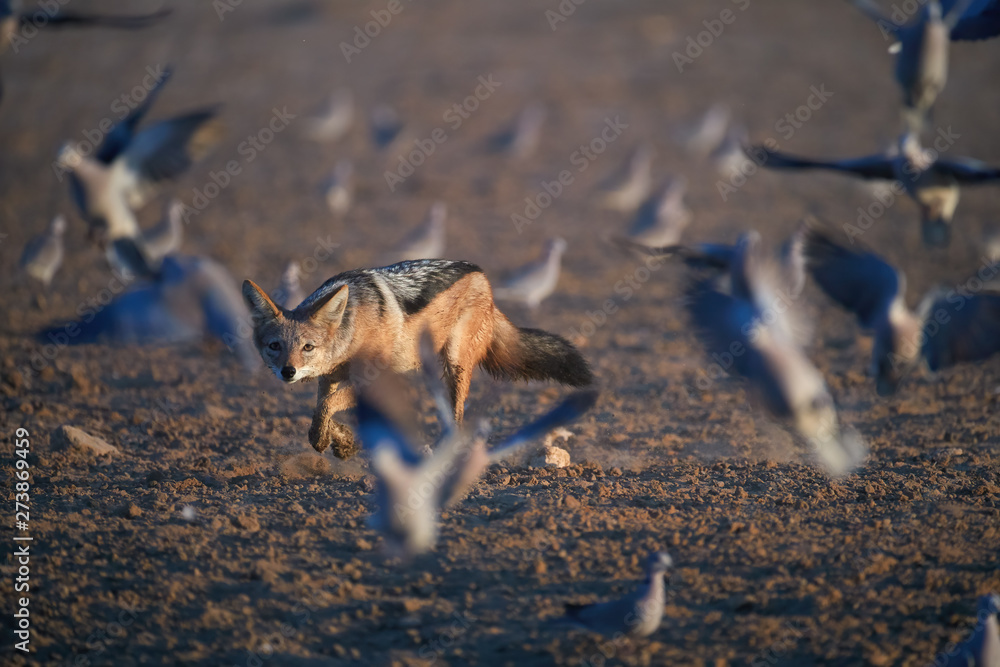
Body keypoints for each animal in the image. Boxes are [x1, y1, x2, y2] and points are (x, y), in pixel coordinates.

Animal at [242, 259, 594, 459]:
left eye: (307, 347)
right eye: (275, 346)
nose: (288, 372)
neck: (352, 329)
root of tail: (481, 275)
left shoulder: (373, 378)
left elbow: (327, 409)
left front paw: (332, 441)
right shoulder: (330, 379)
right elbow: (321, 412)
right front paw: (340, 442)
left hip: (454, 366)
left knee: (456, 420)